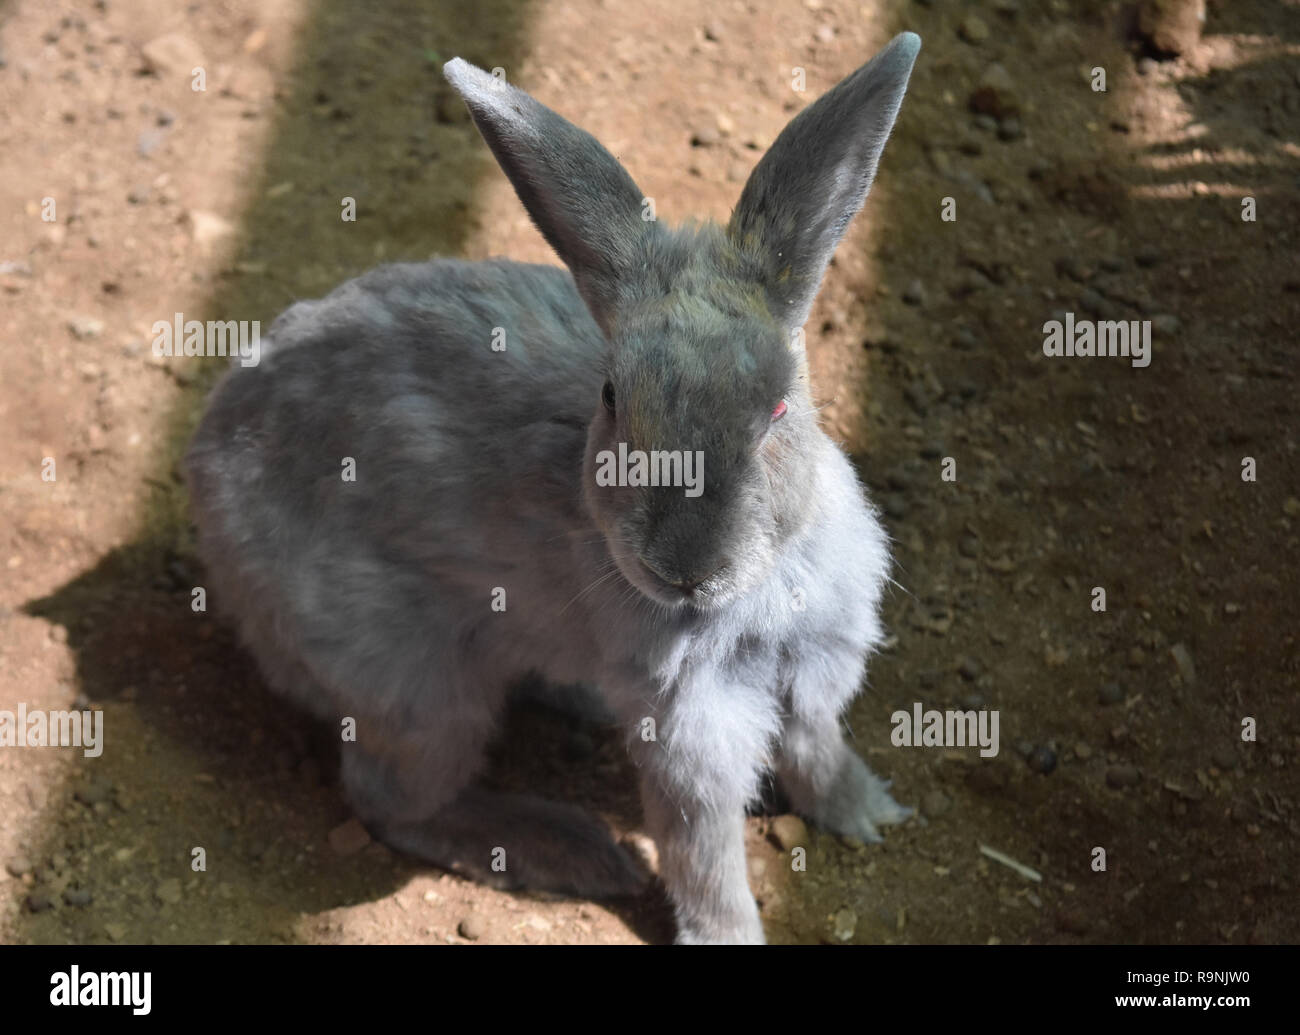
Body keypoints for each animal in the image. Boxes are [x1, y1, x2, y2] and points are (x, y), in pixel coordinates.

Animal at [185, 31, 921, 945]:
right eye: (612, 400)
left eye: (780, 404)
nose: (685, 565)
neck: (755, 589)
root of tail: (207, 463)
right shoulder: (694, 728)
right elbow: (702, 848)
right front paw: (730, 932)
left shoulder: (820, 668)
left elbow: (818, 749)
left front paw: (869, 815)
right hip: (416, 685)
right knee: (391, 800)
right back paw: (571, 851)